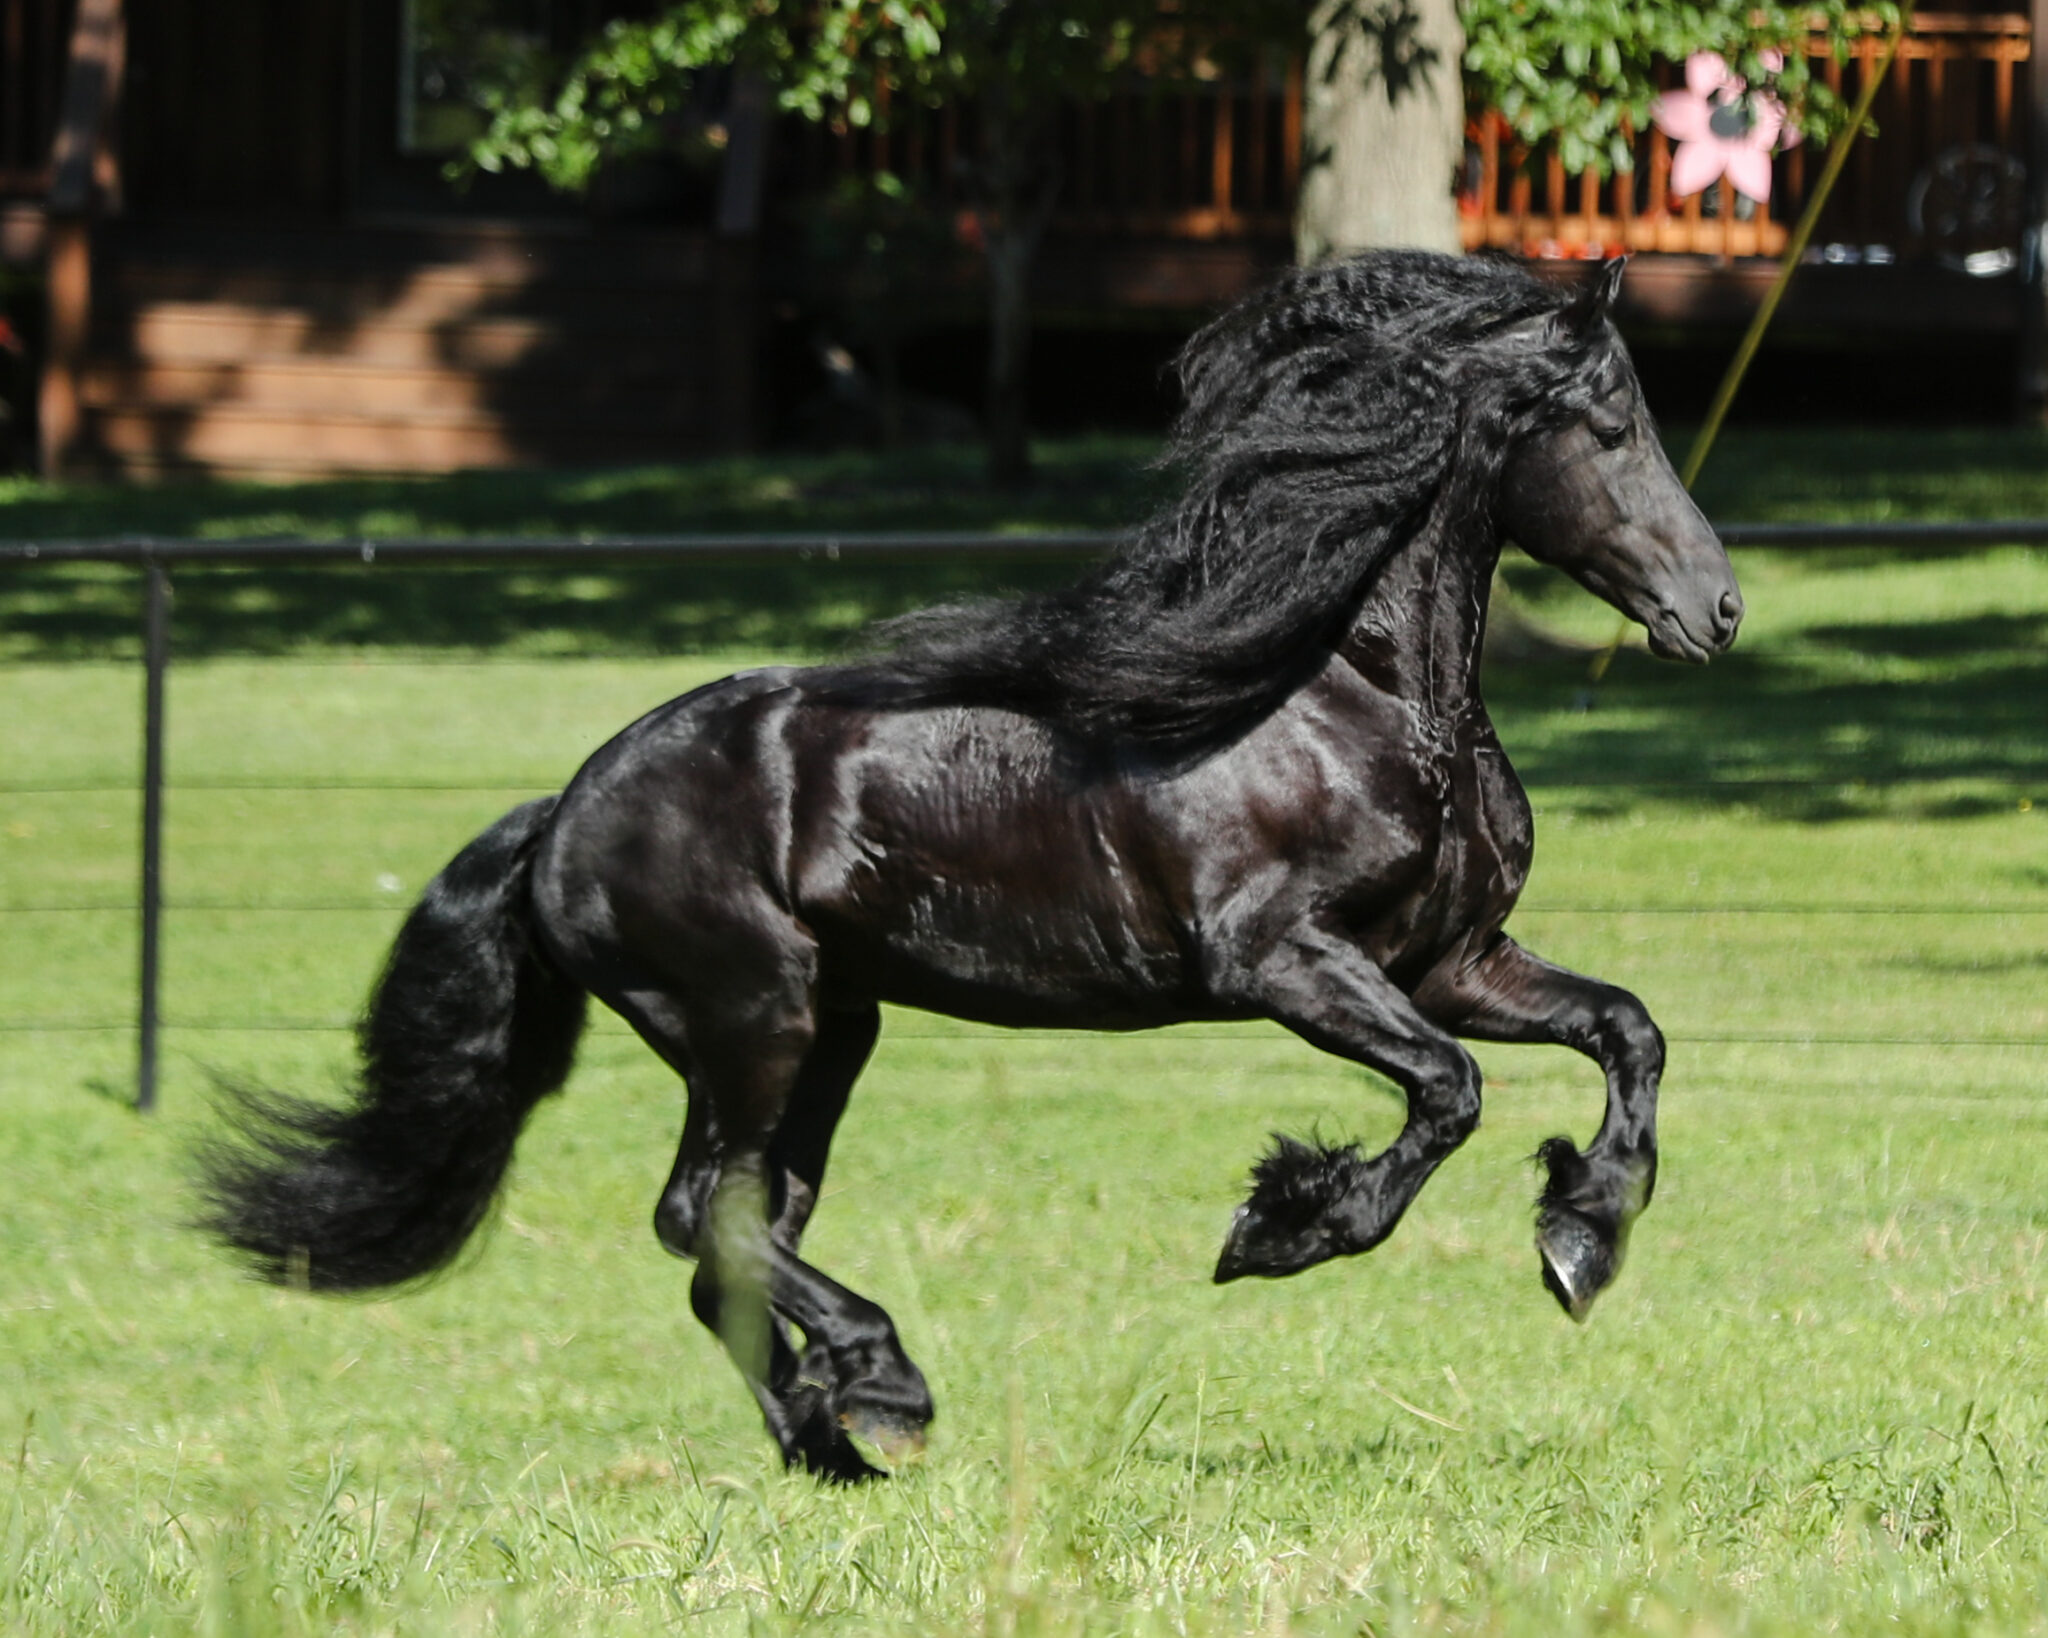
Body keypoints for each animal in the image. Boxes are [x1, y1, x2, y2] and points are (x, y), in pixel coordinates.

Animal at [200, 250, 1742, 1483]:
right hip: (750, 1020)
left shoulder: (1451, 959)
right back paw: (885, 1382)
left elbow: (1625, 1031)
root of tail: (565, 811)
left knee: (734, 1240)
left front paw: (1581, 1237)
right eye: (1611, 424)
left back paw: (834, 1445)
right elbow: (1449, 1091)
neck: (1354, 701)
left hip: (833, 1033)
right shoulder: (1282, 962)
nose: (1717, 609)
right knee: (702, 1216)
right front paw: (1283, 1224)